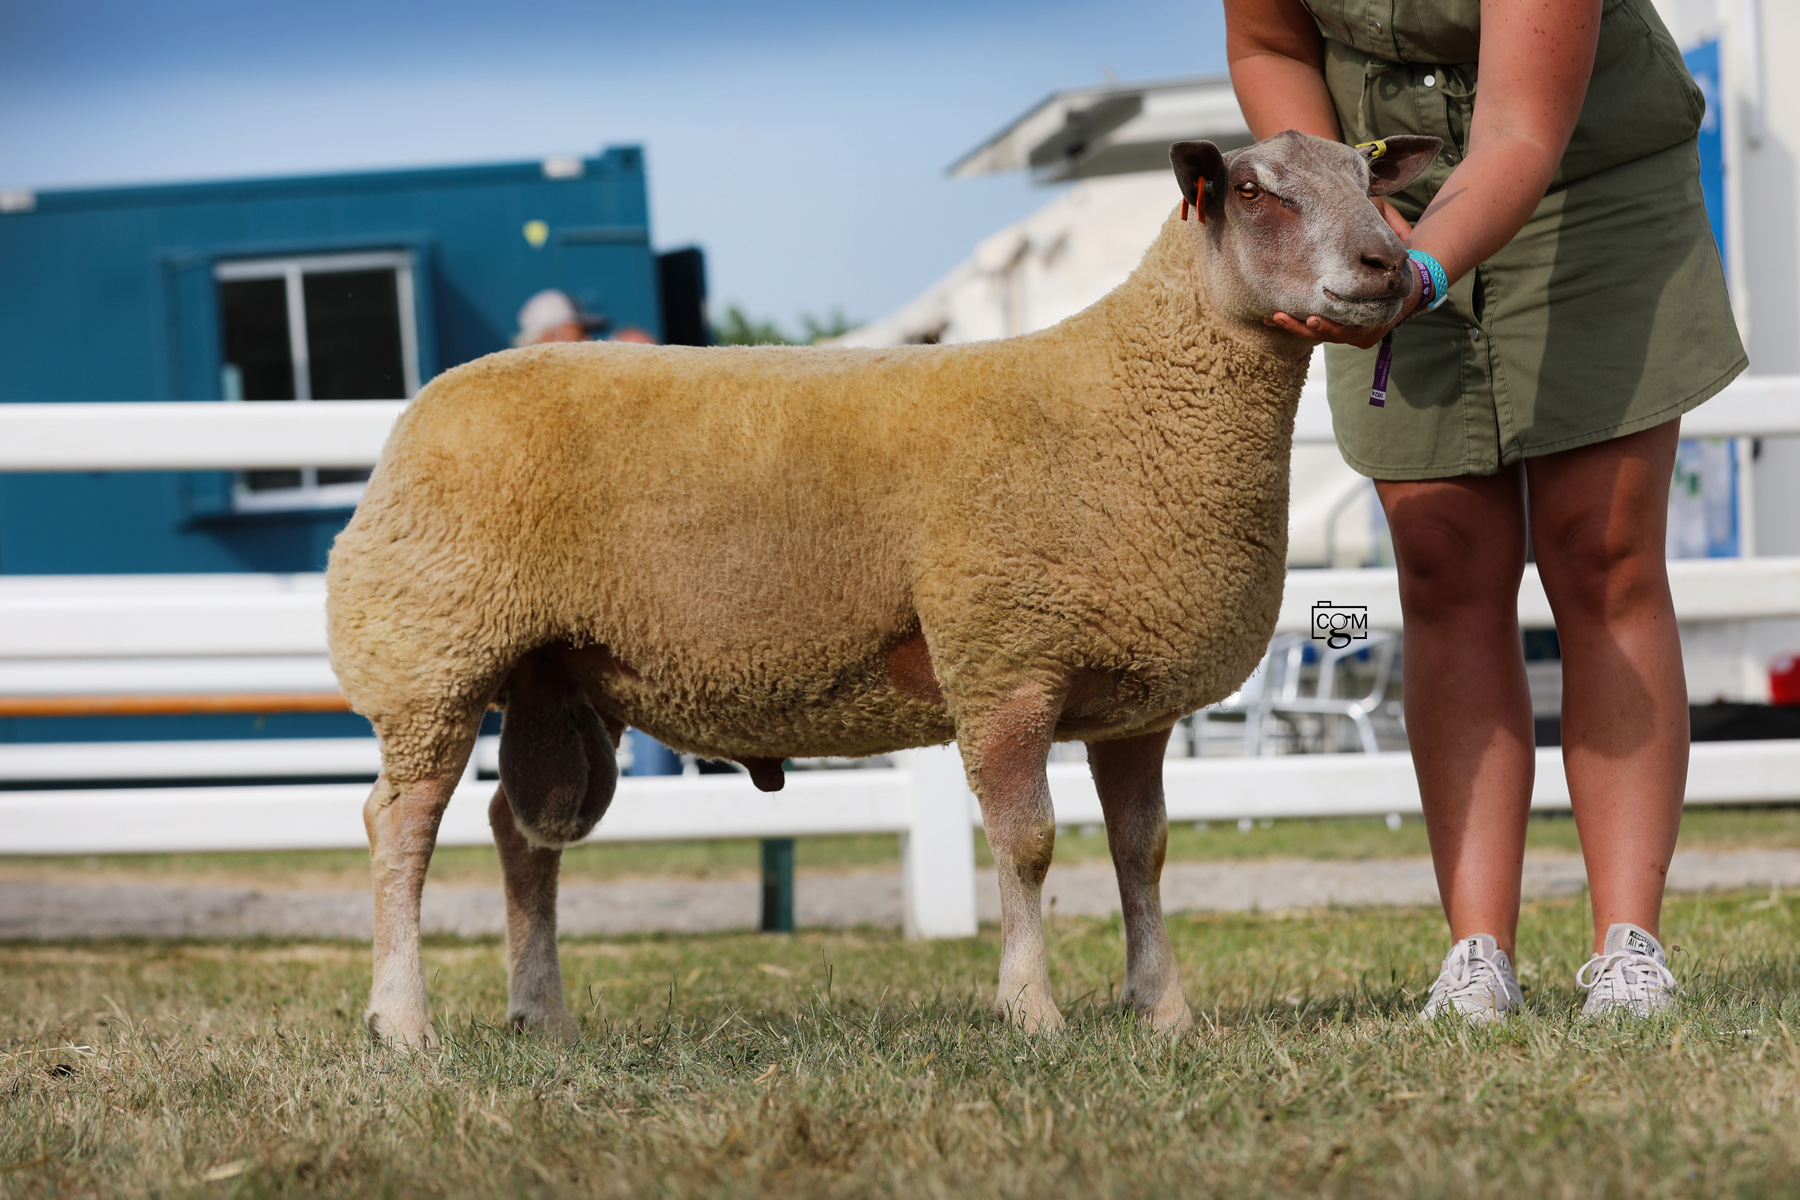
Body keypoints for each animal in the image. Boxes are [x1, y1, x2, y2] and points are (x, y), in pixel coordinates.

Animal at [327, 130, 1440, 1048]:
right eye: (1253, 192)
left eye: (1368, 183)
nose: (1388, 267)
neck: (1129, 396)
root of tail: (420, 410)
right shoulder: (1000, 661)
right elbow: (1029, 844)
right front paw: (1032, 1012)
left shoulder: (1135, 700)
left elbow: (1144, 851)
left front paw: (1163, 1012)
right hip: (429, 654)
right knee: (401, 828)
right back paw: (403, 1025)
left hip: (553, 674)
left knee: (520, 835)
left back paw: (542, 1015)